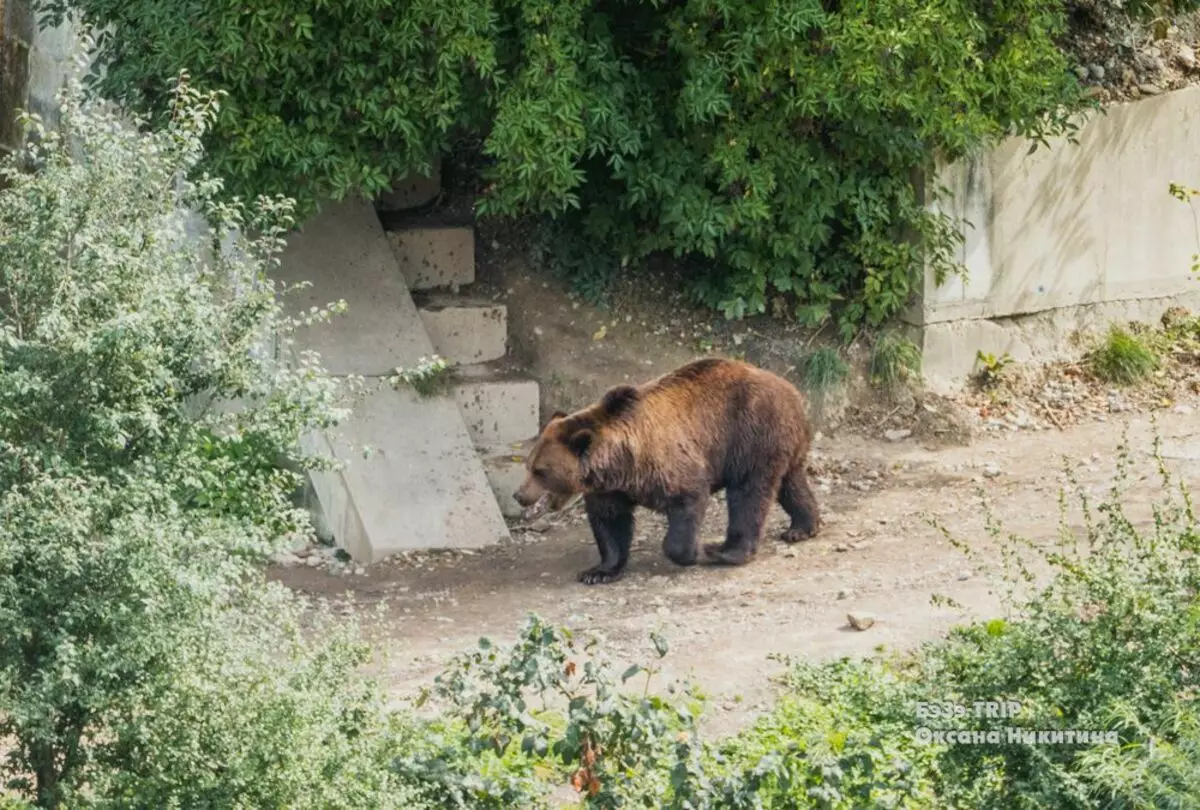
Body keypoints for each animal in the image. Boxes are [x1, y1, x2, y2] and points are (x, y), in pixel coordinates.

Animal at [511, 357, 820, 585]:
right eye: (528, 465)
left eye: (540, 470)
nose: (519, 495)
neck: (621, 463)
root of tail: (793, 392)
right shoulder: (610, 489)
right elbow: (610, 522)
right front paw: (597, 571)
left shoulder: (667, 464)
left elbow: (687, 501)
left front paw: (691, 552)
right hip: (780, 444)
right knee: (791, 483)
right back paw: (802, 527)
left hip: (752, 435)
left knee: (748, 494)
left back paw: (726, 551)